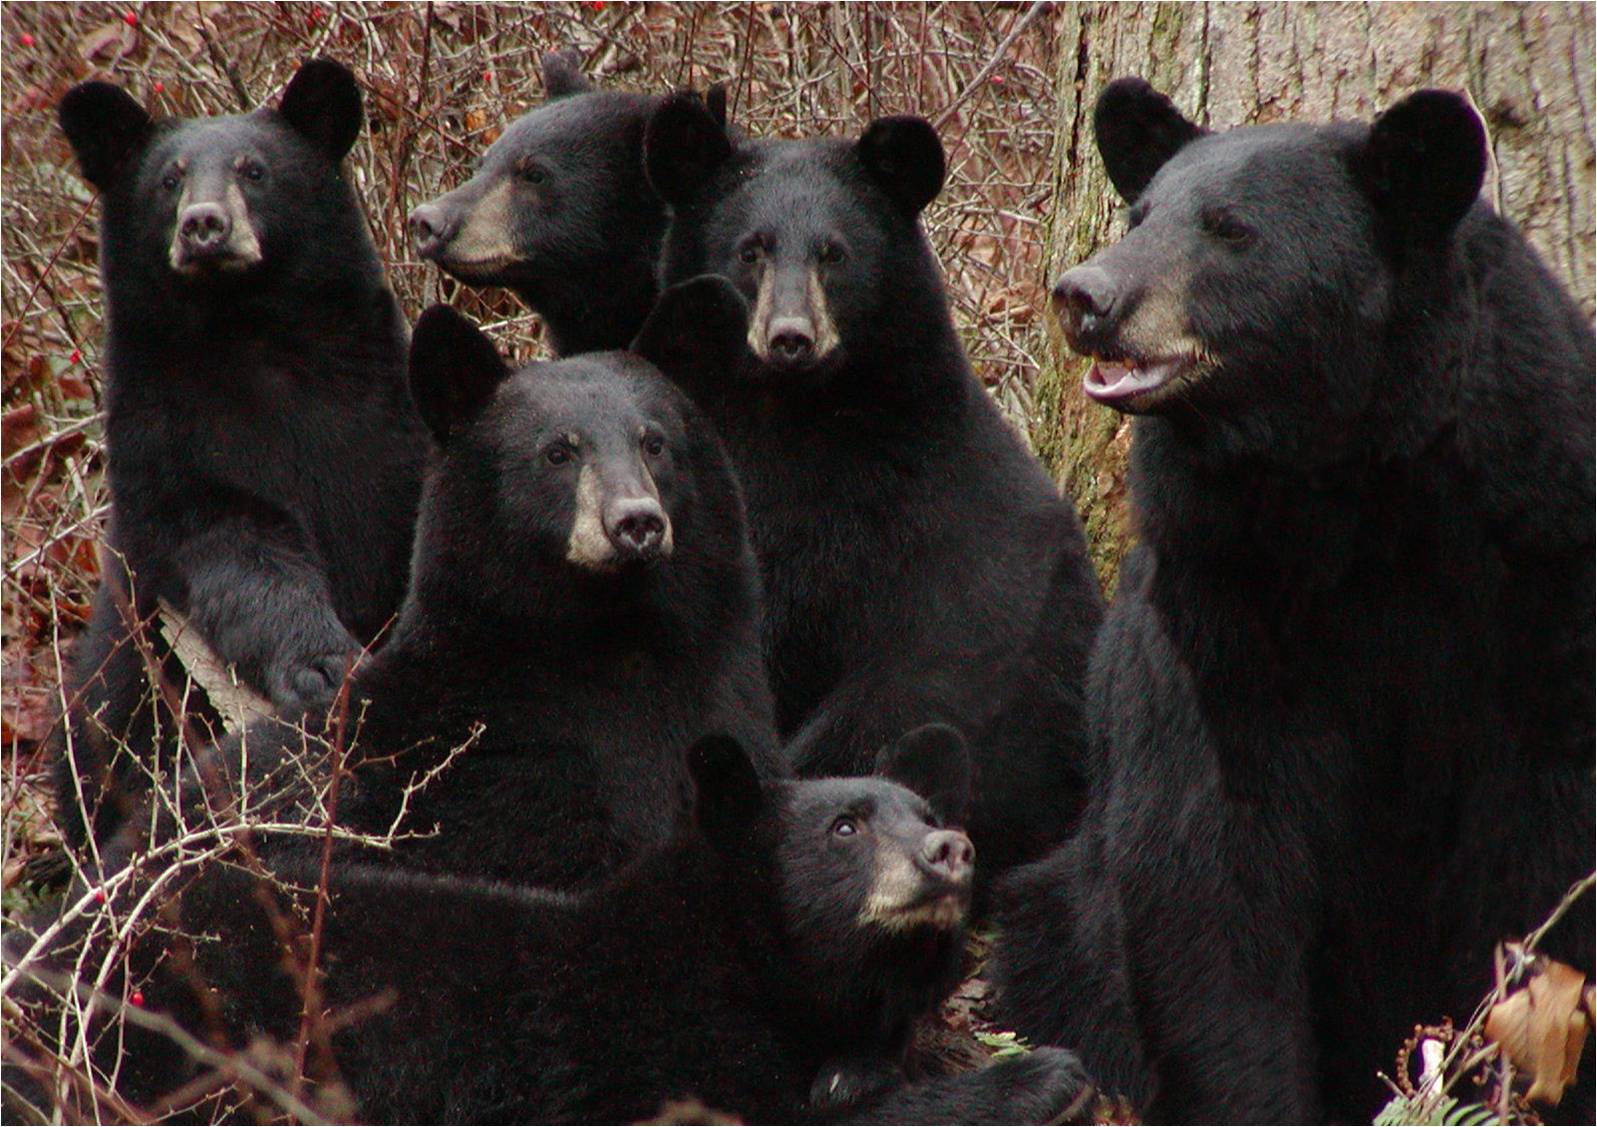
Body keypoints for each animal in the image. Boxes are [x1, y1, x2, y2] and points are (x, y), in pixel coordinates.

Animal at [54, 60, 431, 850]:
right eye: (168, 179)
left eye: (254, 171)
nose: (204, 225)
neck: (247, 331)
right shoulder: (168, 447)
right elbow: (236, 548)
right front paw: (322, 663)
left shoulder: (384, 414)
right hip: (116, 702)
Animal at [991, 79, 1595, 1123]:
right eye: (1140, 214)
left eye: (1230, 229)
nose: (1084, 296)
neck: (1343, 479)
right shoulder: (1218, 608)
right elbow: (1208, 858)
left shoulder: (1540, 574)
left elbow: (1545, 859)